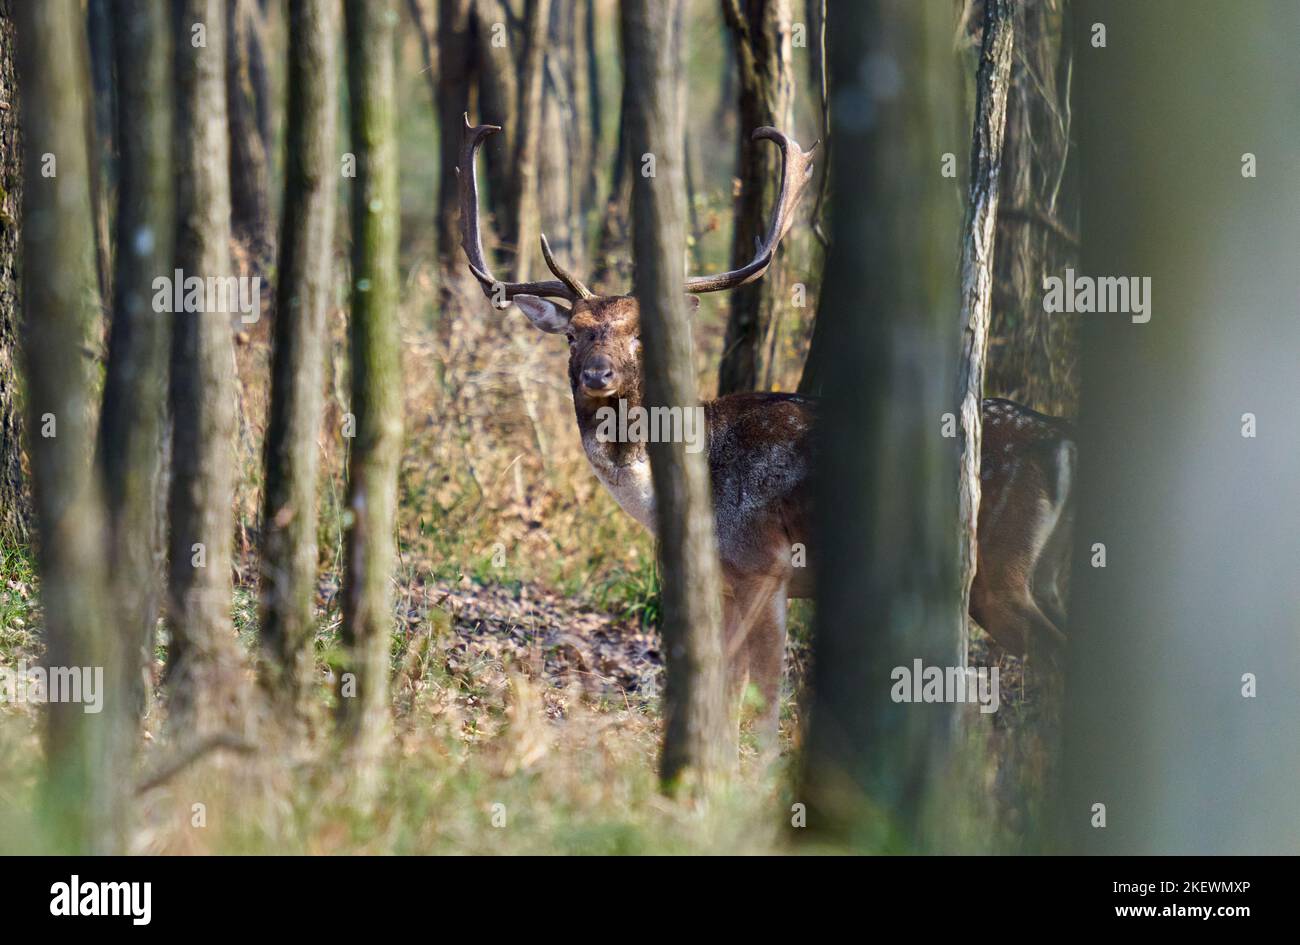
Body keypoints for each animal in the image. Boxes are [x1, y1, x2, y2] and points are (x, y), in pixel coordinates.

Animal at [457, 115, 1075, 752]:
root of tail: (1061, 439)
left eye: (637, 335)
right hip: (1045, 571)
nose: (597, 375)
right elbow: (733, 693)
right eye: (573, 334)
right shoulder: (735, 580)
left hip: (996, 567)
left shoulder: (765, 562)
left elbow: (759, 699)